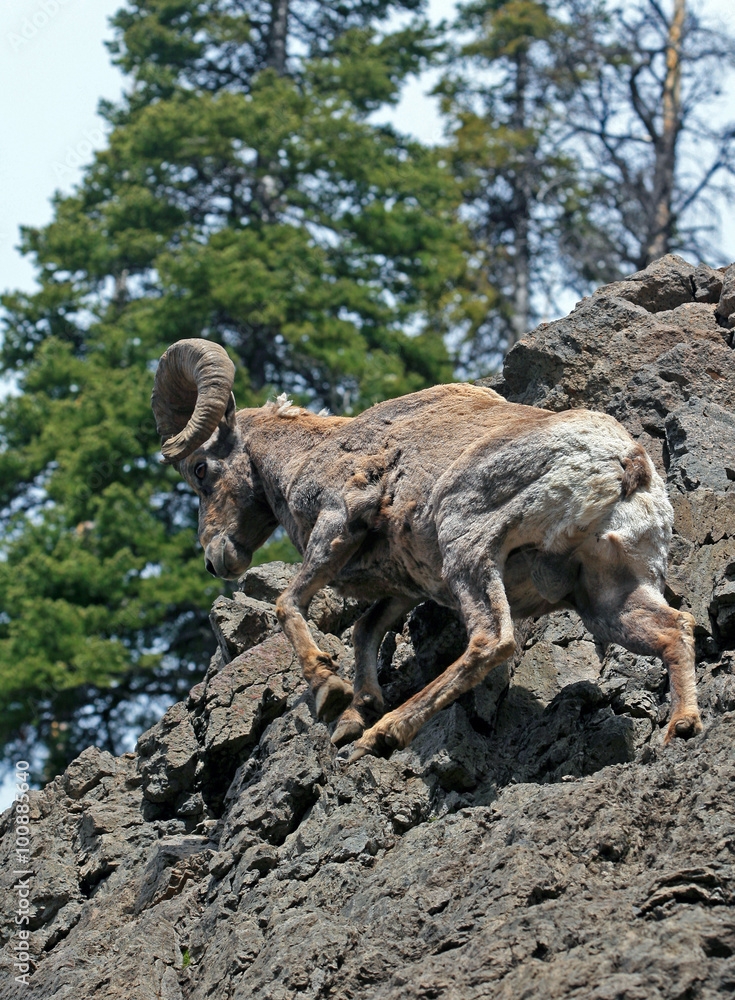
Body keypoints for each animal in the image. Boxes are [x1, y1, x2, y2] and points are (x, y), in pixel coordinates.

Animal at [151, 338, 702, 760]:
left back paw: (386, 733)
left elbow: (288, 603)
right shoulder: (406, 588)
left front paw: (331, 693)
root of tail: (626, 464)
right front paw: (354, 713)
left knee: (491, 641)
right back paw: (683, 726)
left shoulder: (338, 522)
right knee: (674, 630)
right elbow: (364, 631)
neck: (307, 455)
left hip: (467, 548)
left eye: (200, 470)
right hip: (605, 596)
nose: (215, 560)